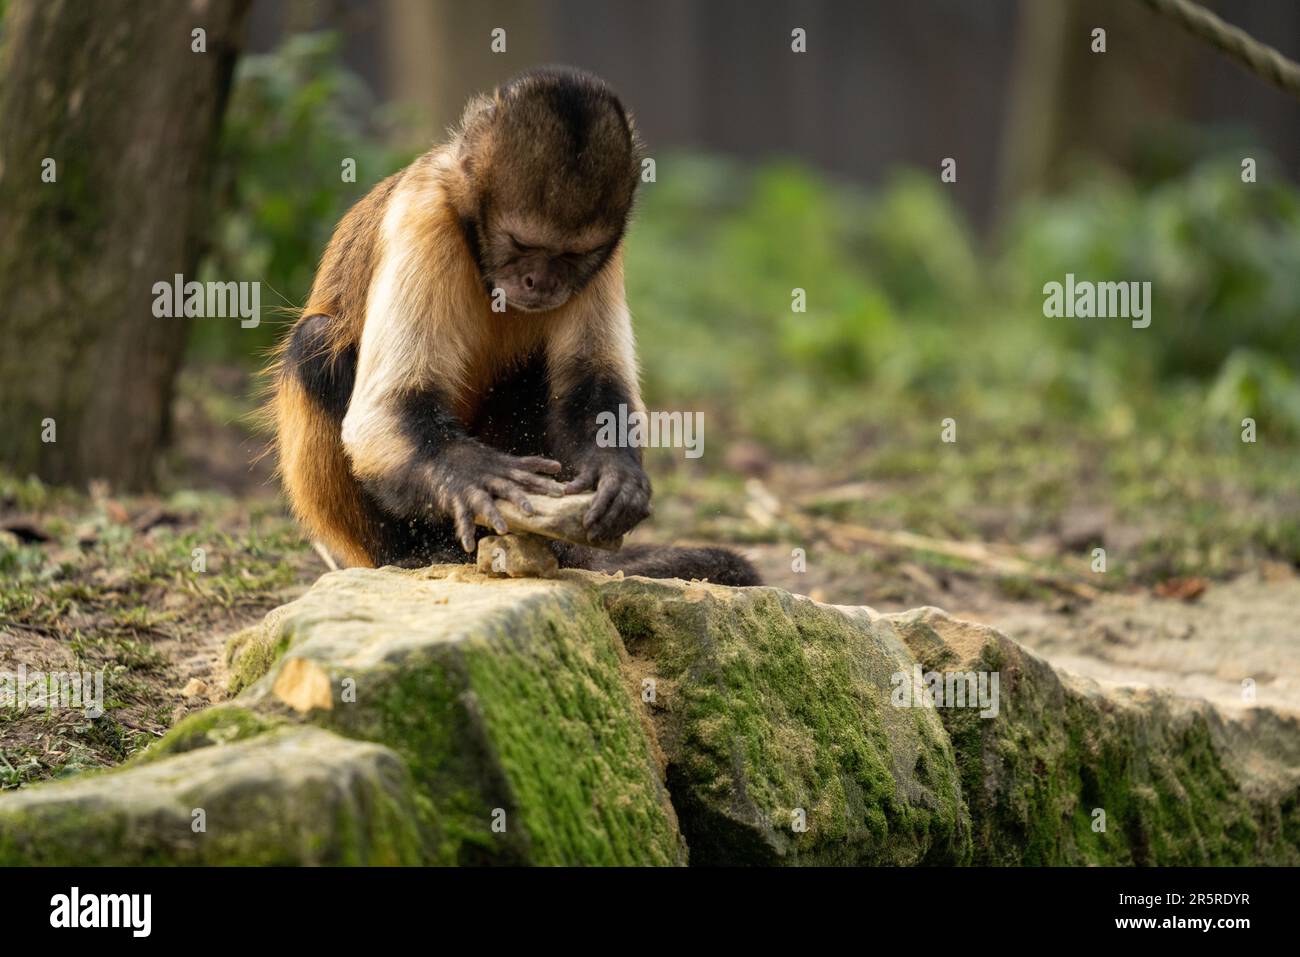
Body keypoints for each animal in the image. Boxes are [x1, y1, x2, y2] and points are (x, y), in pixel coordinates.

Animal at [266, 67, 759, 587]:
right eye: (522, 244)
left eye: (571, 256)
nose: (540, 281)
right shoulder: (424, 214)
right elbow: (386, 412)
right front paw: (472, 474)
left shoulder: (607, 253)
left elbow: (590, 382)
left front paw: (617, 476)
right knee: (315, 345)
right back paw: (419, 553)